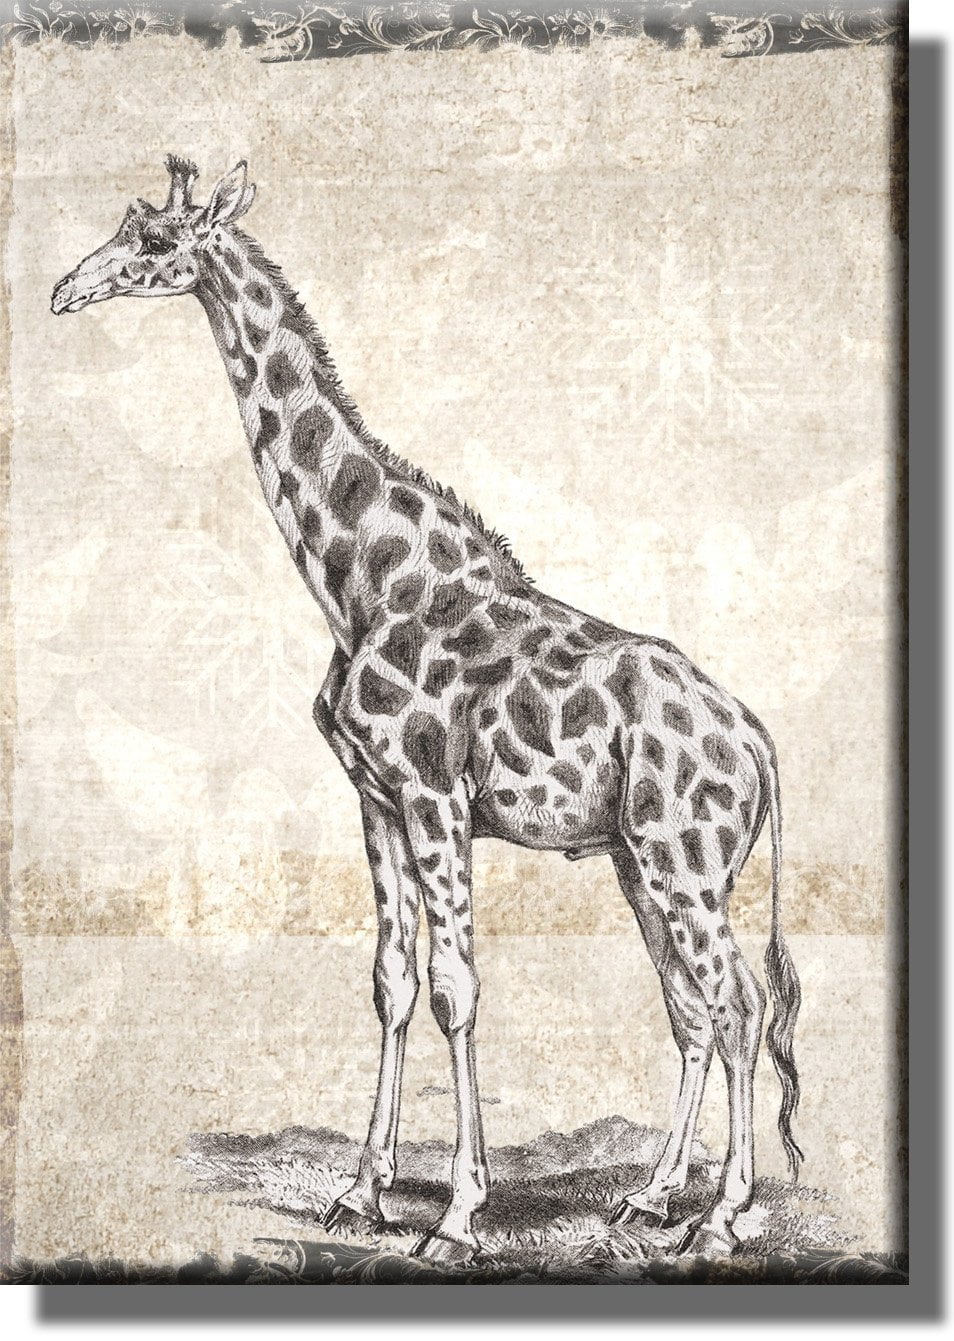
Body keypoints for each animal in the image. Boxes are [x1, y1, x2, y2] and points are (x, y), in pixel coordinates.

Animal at [51, 156, 803, 1263]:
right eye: (123, 225)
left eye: (152, 244)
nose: (65, 291)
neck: (359, 580)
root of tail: (757, 742)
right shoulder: (374, 797)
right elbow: (393, 981)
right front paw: (362, 1192)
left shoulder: (436, 796)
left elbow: (457, 987)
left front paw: (455, 1214)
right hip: (639, 863)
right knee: (693, 1009)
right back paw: (654, 1198)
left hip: (685, 862)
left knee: (738, 1001)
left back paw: (723, 1218)